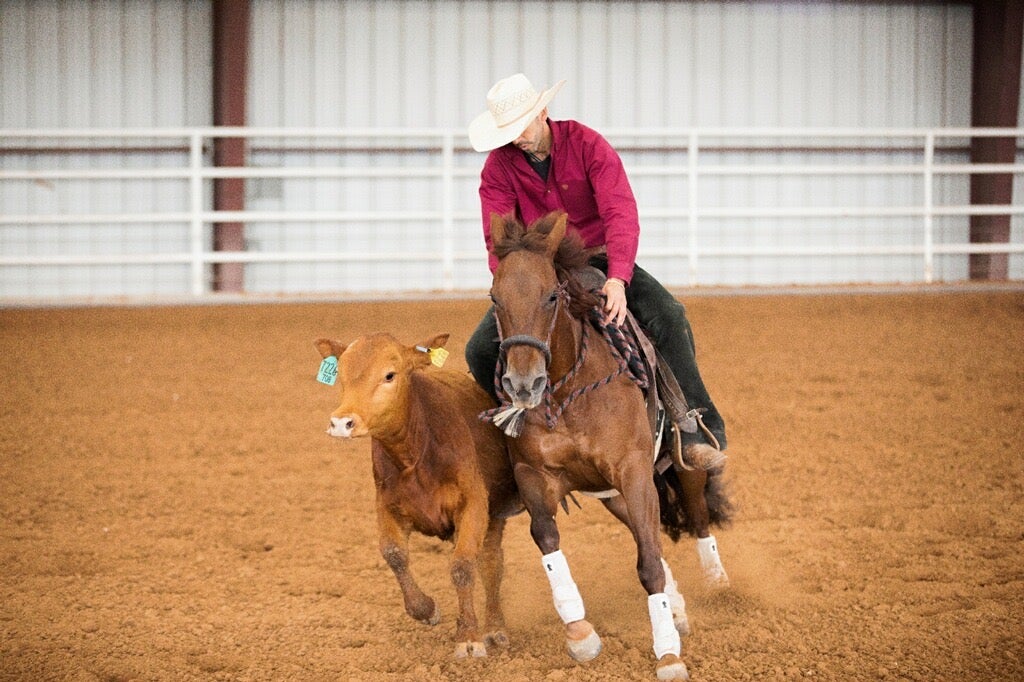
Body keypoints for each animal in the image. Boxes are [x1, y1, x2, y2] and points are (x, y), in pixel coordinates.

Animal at [484, 211, 732, 680]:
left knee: (695, 514)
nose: (523, 385)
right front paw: (580, 633)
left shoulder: (633, 469)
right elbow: (546, 537)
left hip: (676, 462)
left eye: (551, 296)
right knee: (642, 527)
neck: (569, 392)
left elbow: (648, 563)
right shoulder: (535, 474)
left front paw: (668, 654)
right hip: (613, 492)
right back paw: (679, 607)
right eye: (494, 297)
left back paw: (719, 584)